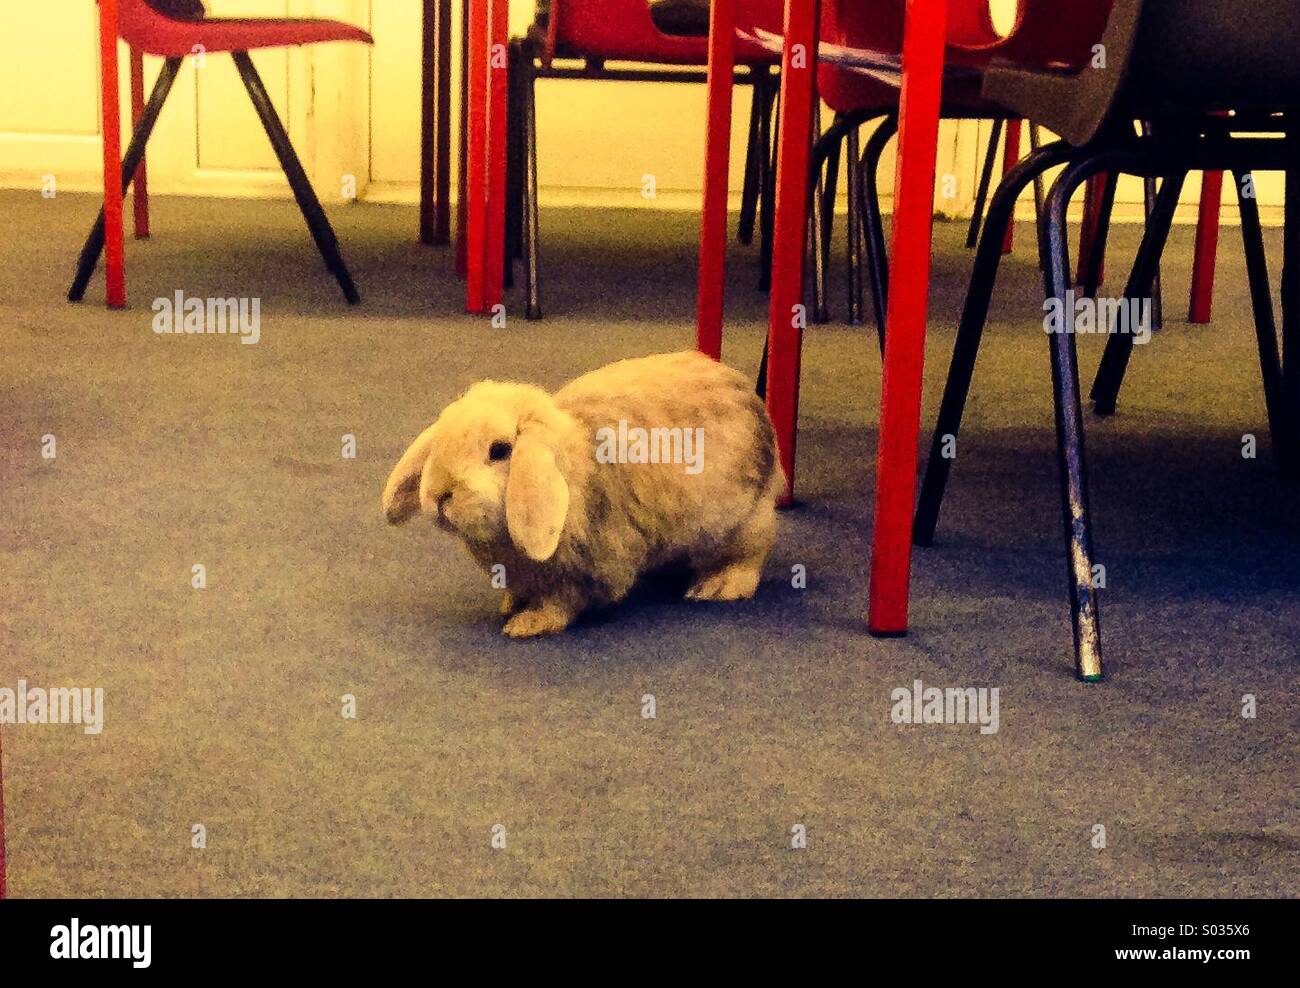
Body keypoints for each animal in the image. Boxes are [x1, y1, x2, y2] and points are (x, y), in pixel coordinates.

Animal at [381, 351, 783, 637]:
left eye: (499, 450)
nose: (439, 495)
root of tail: (747, 393)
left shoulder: (581, 569)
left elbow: (563, 602)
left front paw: (527, 624)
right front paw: (510, 605)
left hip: (742, 521)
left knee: (749, 556)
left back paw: (716, 587)